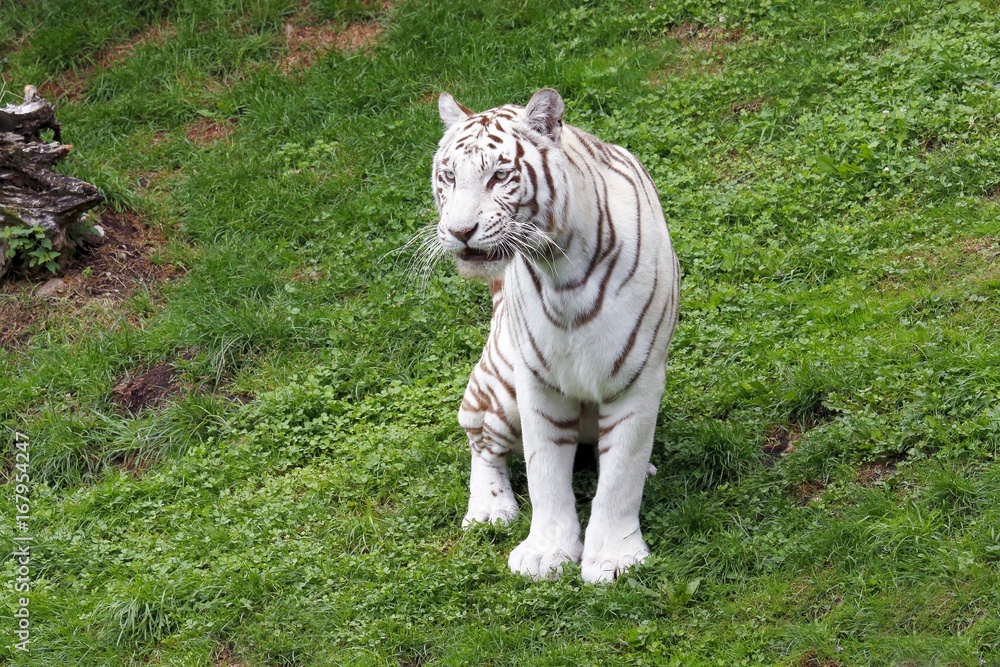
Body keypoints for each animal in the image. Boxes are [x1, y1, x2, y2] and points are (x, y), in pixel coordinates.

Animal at [432, 88, 680, 583]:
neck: (559, 267)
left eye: (499, 175)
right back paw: (489, 510)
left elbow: (620, 477)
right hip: (499, 390)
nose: (459, 231)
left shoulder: (638, 379)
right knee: (480, 439)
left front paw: (613, 558)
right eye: (449, 176)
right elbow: (545, 472)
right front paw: (546, 552)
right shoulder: (537, 383)